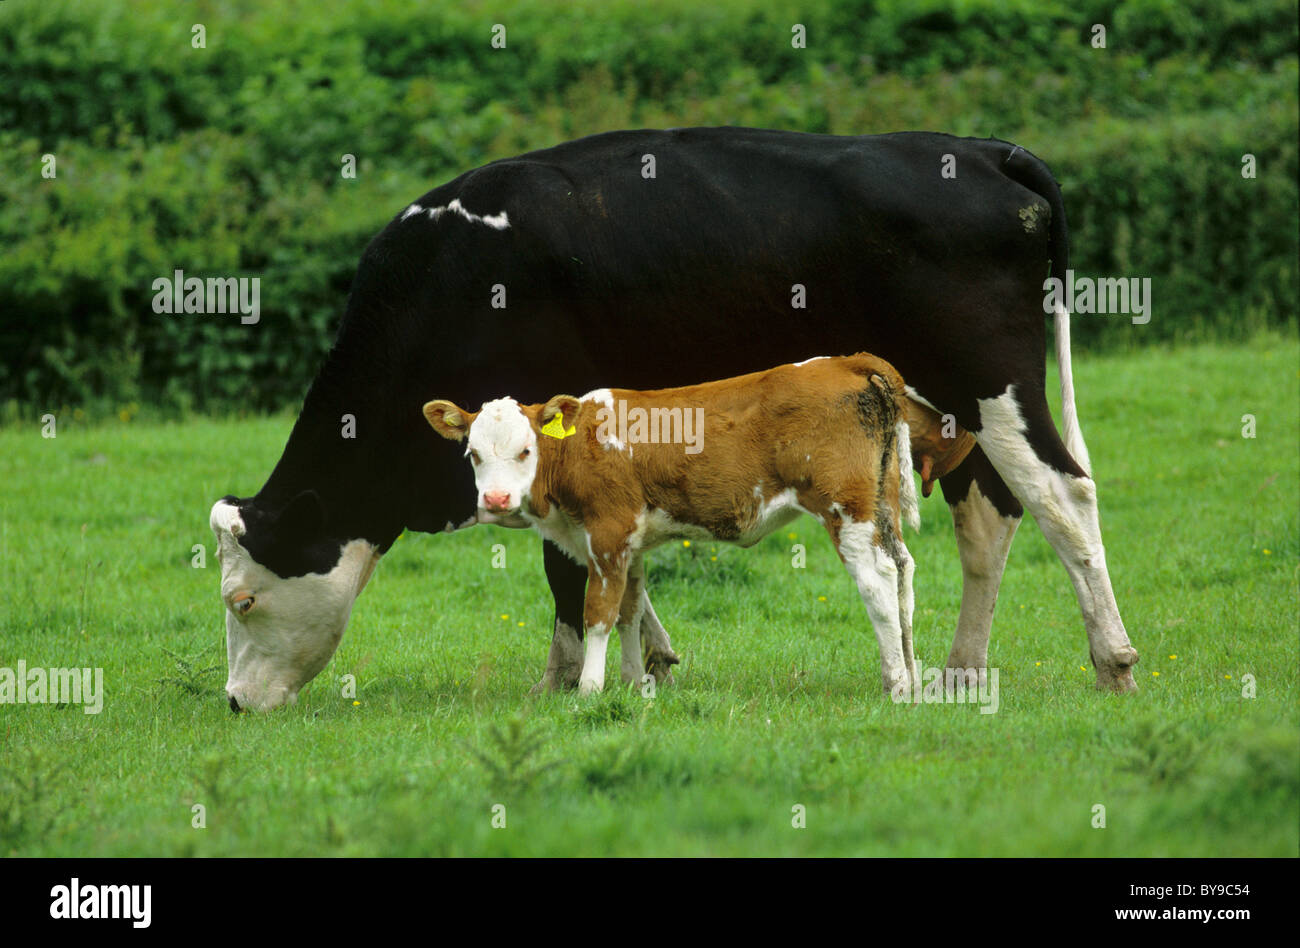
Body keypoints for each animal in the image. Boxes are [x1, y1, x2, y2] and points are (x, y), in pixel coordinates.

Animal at [422, 353, 945, 696]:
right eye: (473, 454)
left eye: (525, 450)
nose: (495, 500)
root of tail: (846, 360)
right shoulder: (630, 543)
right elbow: (630, 610)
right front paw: (634, 684)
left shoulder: (607, 534)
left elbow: (599, 614)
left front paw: (590, 689)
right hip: (882, 505)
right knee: (903, 573)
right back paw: (913, 673)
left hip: (846, 507)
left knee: (877, 580)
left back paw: (896, 683)